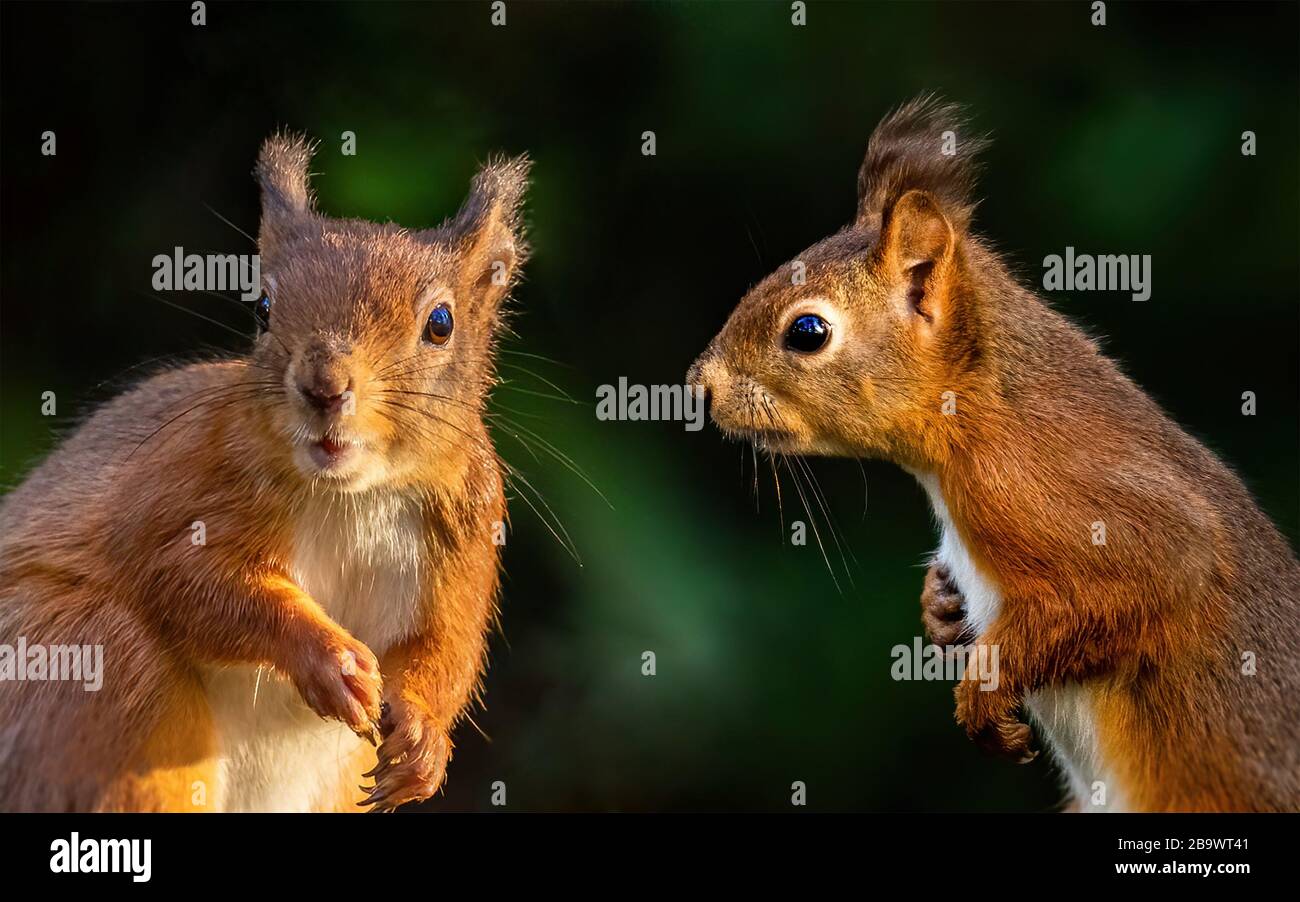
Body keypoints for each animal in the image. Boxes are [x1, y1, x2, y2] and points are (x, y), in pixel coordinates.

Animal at [0, 134, 529, 812]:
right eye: (263, 308)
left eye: (441, 323)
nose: (324, 386)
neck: (351, 496)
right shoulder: (191, 481)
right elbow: (187, 578)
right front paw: (329, 659)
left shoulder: (468, 531)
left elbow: (449, 647)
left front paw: (424, 739)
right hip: (94, 665)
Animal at [688, 96, 1300, 812]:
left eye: (807, 331)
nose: (698, 386)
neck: (976, 421)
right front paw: (939, 608)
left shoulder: (1058, 492)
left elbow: (1155, 573)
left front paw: (983, 696)